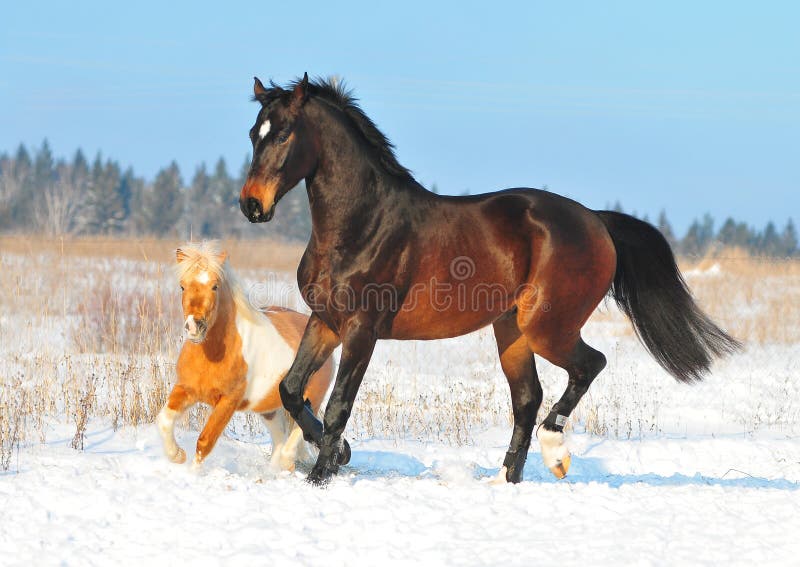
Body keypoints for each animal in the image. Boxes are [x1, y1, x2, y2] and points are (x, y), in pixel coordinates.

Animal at [156, 241, 336, 472]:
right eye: (182, 286)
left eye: (215, 286)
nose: (195, 327)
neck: (214, 354)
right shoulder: (186, 389)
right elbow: (164, 421)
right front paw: (177, 456)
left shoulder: (228, 401)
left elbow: (205, 441)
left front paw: (192, 474)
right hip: (268, 409)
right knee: (280, 439)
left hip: (309, 399)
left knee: (294, 437)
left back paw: (285, 463)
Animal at [239, 74, 740, 485]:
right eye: (252, 133)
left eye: (282, 133)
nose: (251, 205)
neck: (363, 224)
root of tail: (596, 220)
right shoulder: (325, 321)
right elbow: (291, 389)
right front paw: (339, 453)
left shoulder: (362, 329)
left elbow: (339, 402)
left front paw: (321, 474)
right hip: (511, 330)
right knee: (528, 397)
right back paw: (505, 478)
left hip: (547, 327)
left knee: (588, 366)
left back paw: (556, 453)